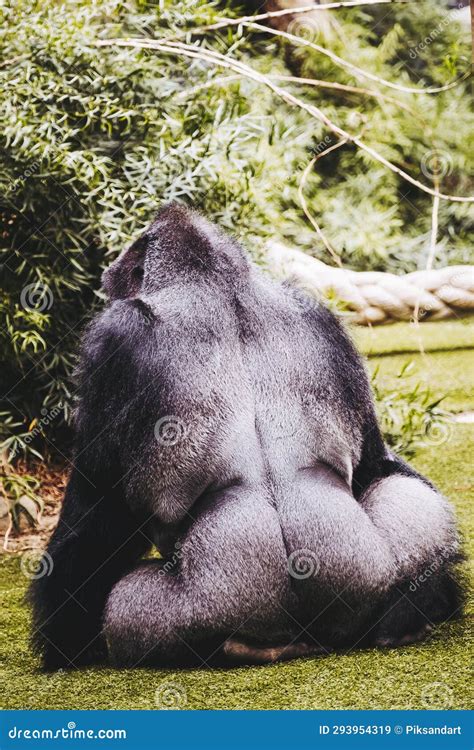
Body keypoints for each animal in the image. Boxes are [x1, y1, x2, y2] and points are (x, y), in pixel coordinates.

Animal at [29, 203, 463, 670]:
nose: (108, 272)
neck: (216, 283)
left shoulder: (114, 338)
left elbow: (94, 518)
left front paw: (63, 642)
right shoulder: (323, 316)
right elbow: (373, 461)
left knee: (129, 610)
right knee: (404, 491)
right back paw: (412, 612)